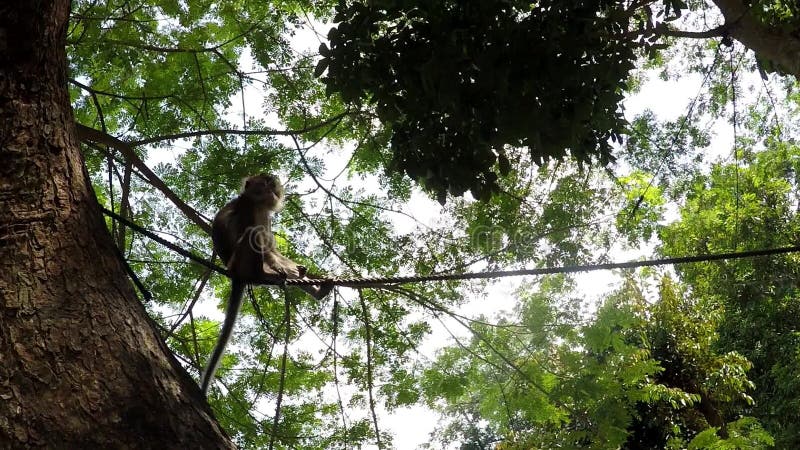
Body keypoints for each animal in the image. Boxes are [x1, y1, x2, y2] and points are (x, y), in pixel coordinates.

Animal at [200, 173, 332, 394]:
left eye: (272, 186)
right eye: (263, 184)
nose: (270, 191)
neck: (258, 204)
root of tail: (235, 273)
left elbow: (273, 250)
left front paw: (296, 271)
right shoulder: (246, 206)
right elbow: (258, 240)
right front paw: (280, 268)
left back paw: (314, 288)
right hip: (240, 262)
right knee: (253, 234)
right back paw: (266, 274)